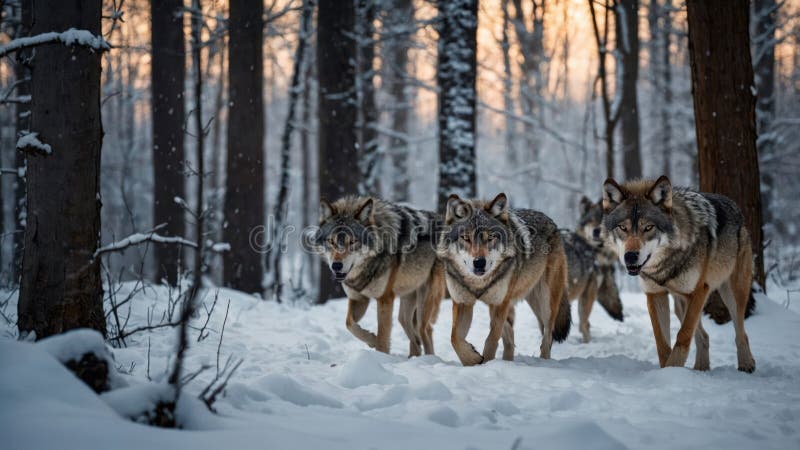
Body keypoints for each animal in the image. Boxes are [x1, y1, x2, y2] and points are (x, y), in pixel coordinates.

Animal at [316, 196, 445, 357]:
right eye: (331, 241)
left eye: (352, 241)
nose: (336, 266)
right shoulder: (358, 298)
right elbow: (349, 323)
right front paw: (372, 339)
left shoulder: (385, 299)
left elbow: (383, 337)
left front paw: (380, 355)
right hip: (406, 309)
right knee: (414, 333)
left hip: (423, 306)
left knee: (425, 330)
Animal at [436, 193, 571, 366]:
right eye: (465, 238)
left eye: (490, 237)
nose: (479, 262)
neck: (478, 284)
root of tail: (552, 222)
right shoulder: (463, 303)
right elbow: (454, 338)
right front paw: (472, 360)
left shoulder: (500, 303)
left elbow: (492, 339)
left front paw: (486, 362)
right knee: (510, 336)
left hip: (545, 303)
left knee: (547, 337)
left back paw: (544, 362)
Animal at [601, 176, 756, 372]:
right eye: (622, 227)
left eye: (648, 227)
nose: (630, 256)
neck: (665, 266)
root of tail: (735, 206)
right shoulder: (655, 295)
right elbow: (662, 343)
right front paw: (667, 372)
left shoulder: (700, 290)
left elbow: (683, 336)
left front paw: (673, 369)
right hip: (681, 304)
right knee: (704, 336)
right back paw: (701, 368)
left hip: (731, 295)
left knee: (740, 331)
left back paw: (746, 363)